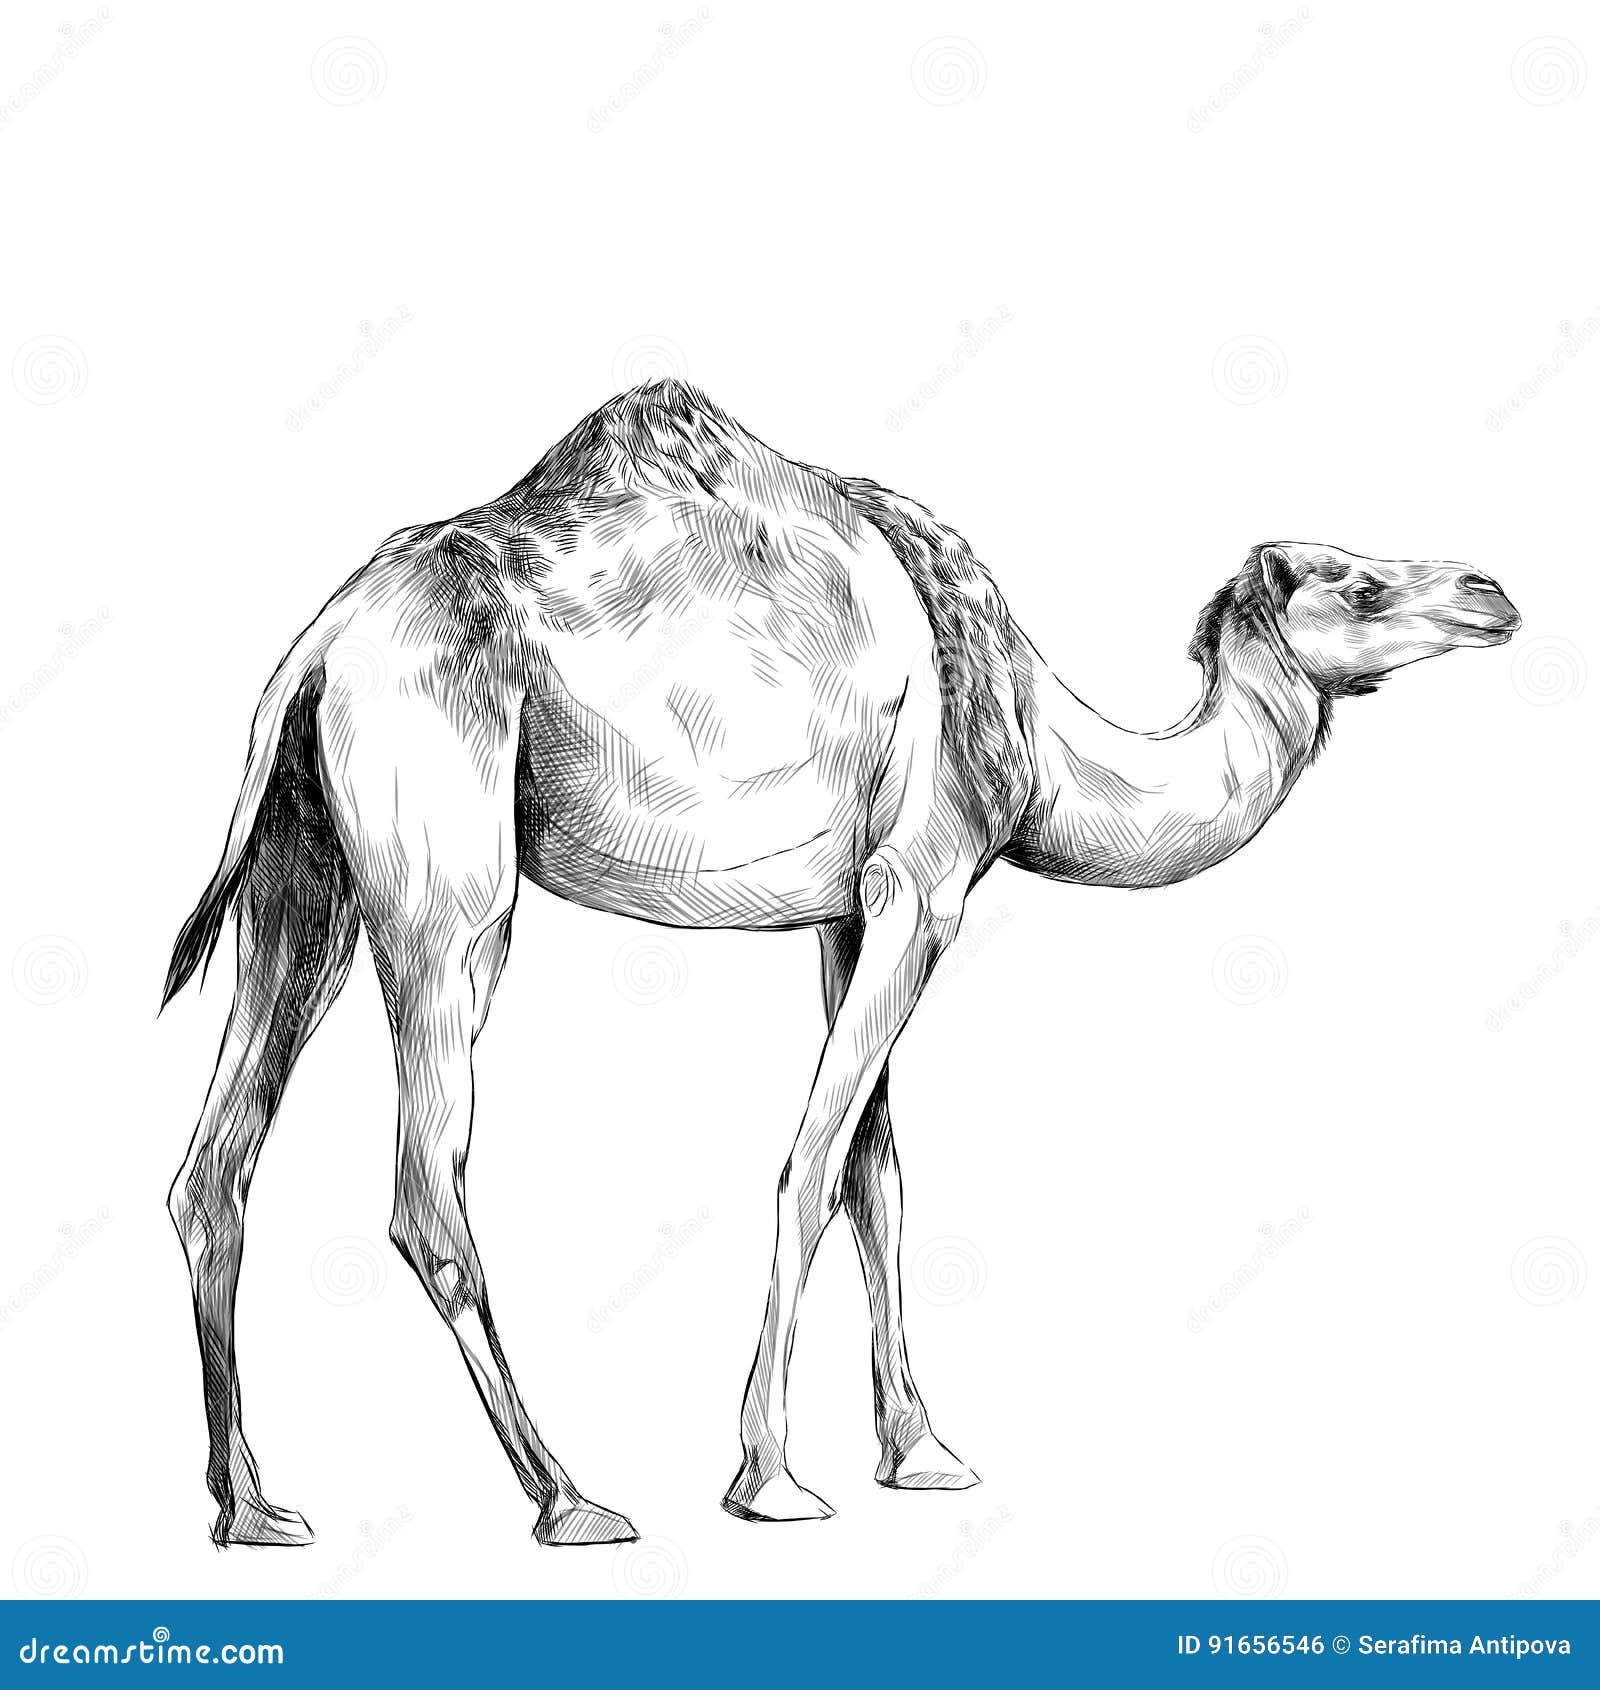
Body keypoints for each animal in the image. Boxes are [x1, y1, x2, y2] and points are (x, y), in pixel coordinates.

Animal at [163, 380, 1519, 1548]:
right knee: (425, 1184)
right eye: (1359, 584)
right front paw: (768, 1475)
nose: (1491, 591)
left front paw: (919, 1449)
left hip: (307, 864)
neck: (1035, 738)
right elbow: (812, 1167)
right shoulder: (923, 883)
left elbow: (881, 1173)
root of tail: (326, 641)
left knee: (215, 1166)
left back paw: (252, 1508)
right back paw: (571, 1496)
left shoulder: (848, 912)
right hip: (445, 851)